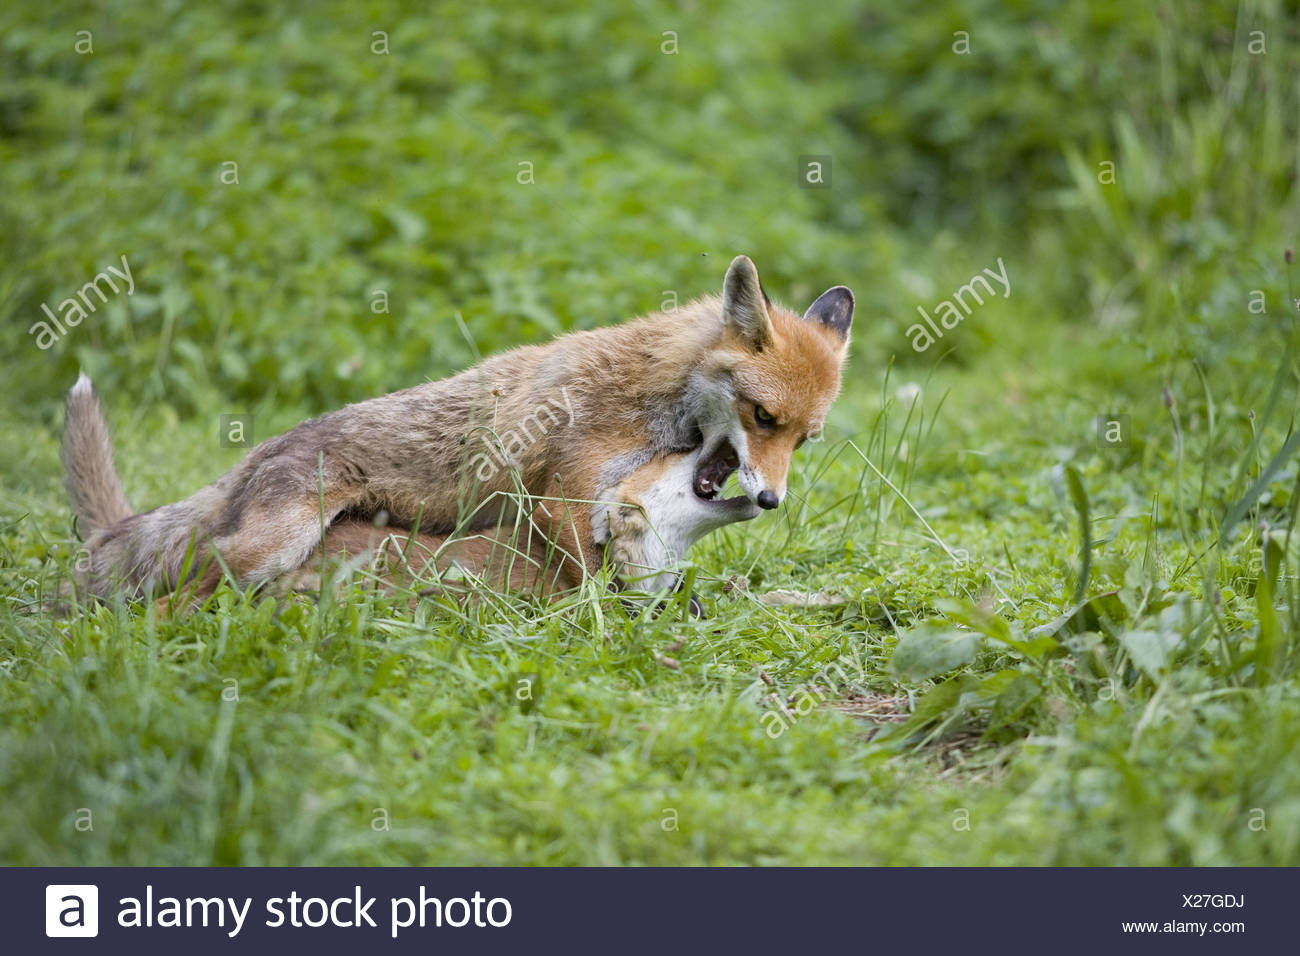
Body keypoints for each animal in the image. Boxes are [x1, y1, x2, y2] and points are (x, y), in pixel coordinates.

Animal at [61, 255, 853, 605]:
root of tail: (260, 453)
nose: (773, 498)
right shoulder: (562, 496)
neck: (648, 392)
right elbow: (588, 582)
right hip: (270, 546)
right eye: (763, 417)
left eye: (804, 440)